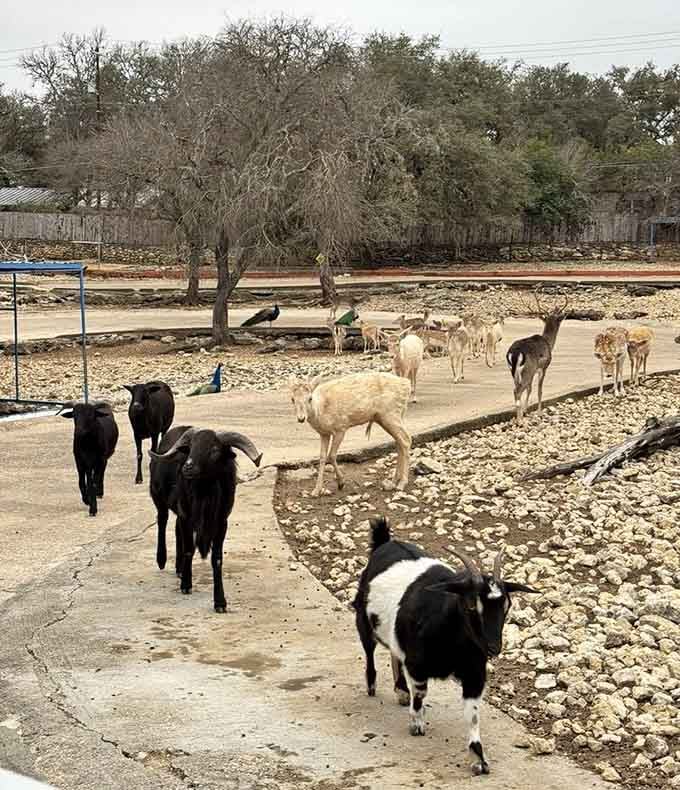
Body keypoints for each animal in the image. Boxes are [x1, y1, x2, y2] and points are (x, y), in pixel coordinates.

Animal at [149, 426, 262, 612]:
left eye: (214, 450)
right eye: (191, 447)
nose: (187, 467)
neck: (205, 494)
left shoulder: (221, 522)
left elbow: (216, 559)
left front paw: (220, 602)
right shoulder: (187, 516)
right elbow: (189, 549)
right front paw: (186, 586)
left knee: (176, 529)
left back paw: (179, 568)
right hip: (158, 496)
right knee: (162, 521)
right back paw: (162, 560)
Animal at [353, 517, 537, 776]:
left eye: (507, 605)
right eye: (470, 605)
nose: (493, 647)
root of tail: (385, 542)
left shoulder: (474, 672)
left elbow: (472, 714)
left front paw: (479, 759)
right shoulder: (417, 664)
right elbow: (421, 693)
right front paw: (416, 723)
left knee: (393, 652)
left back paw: (401, 691)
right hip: (363, 619)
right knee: (369, 650)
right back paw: (373, 685)